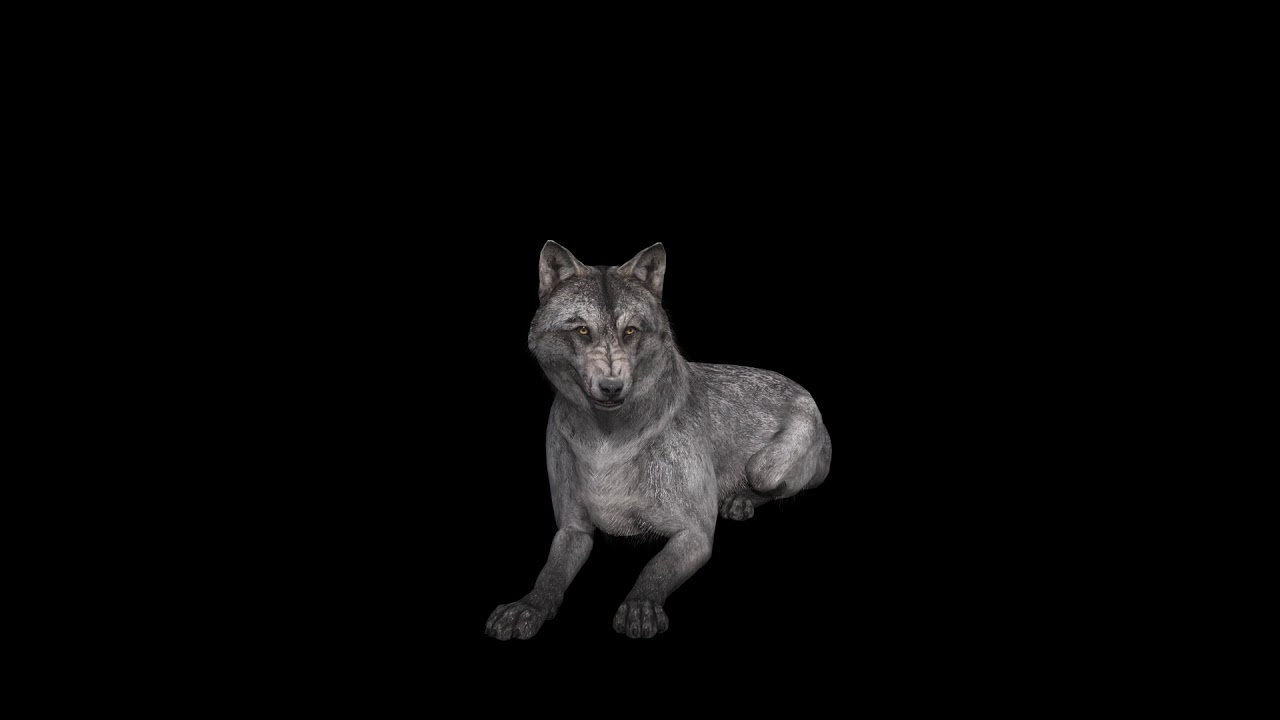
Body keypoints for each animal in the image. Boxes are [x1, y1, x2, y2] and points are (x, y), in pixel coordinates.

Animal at [485, 241, 832, 640]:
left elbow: (655, 569)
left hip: (764, 467)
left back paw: (739, 501)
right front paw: (527, 608)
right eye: (583, 330)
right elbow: (550, 574)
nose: (611, 386)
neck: (606, 443)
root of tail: (810, 398)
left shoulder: (695, 533)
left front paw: (641, 606)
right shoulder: (572, 529)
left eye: (631, 331)